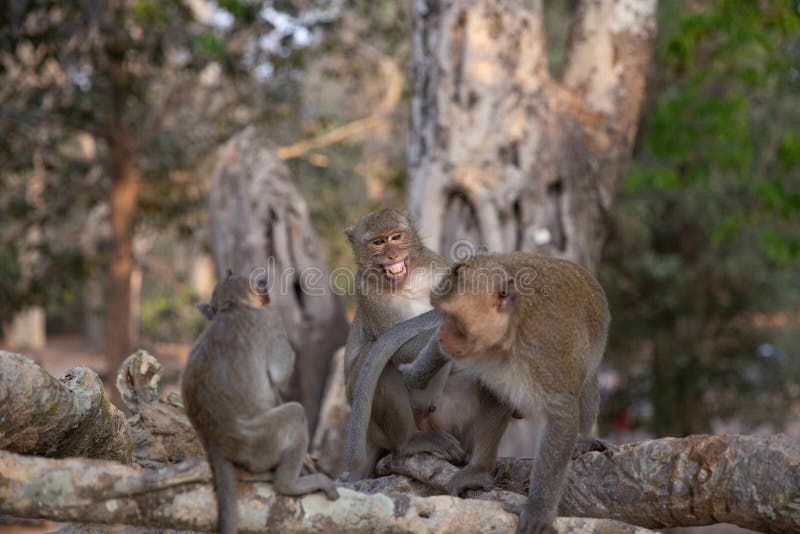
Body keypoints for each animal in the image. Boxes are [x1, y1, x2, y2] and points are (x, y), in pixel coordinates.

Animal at [182, 273, 338, 534]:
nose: (264, 283)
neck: (232, 307)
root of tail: (215, 441)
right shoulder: (272, 320)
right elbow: (278, 374)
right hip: (259, 442)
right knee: (295, 414)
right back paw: (288, 485)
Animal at [342, 208, 470, 480]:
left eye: (396, 237)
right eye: (378, 242)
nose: (392, 255)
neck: (408, 281)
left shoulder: (438, 268)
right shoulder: (366, 292)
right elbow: (399, 350)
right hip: (373, 426)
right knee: (382, 368)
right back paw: (412, 441)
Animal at [398, 252, 611, 534]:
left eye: (450, 316)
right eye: (440, 314)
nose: (442, 333)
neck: (510, 330)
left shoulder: (544, 349)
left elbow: (561, 414)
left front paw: (538, 510)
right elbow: (490, 393)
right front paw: (417, 374)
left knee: (584, 385)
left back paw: (583, 439)